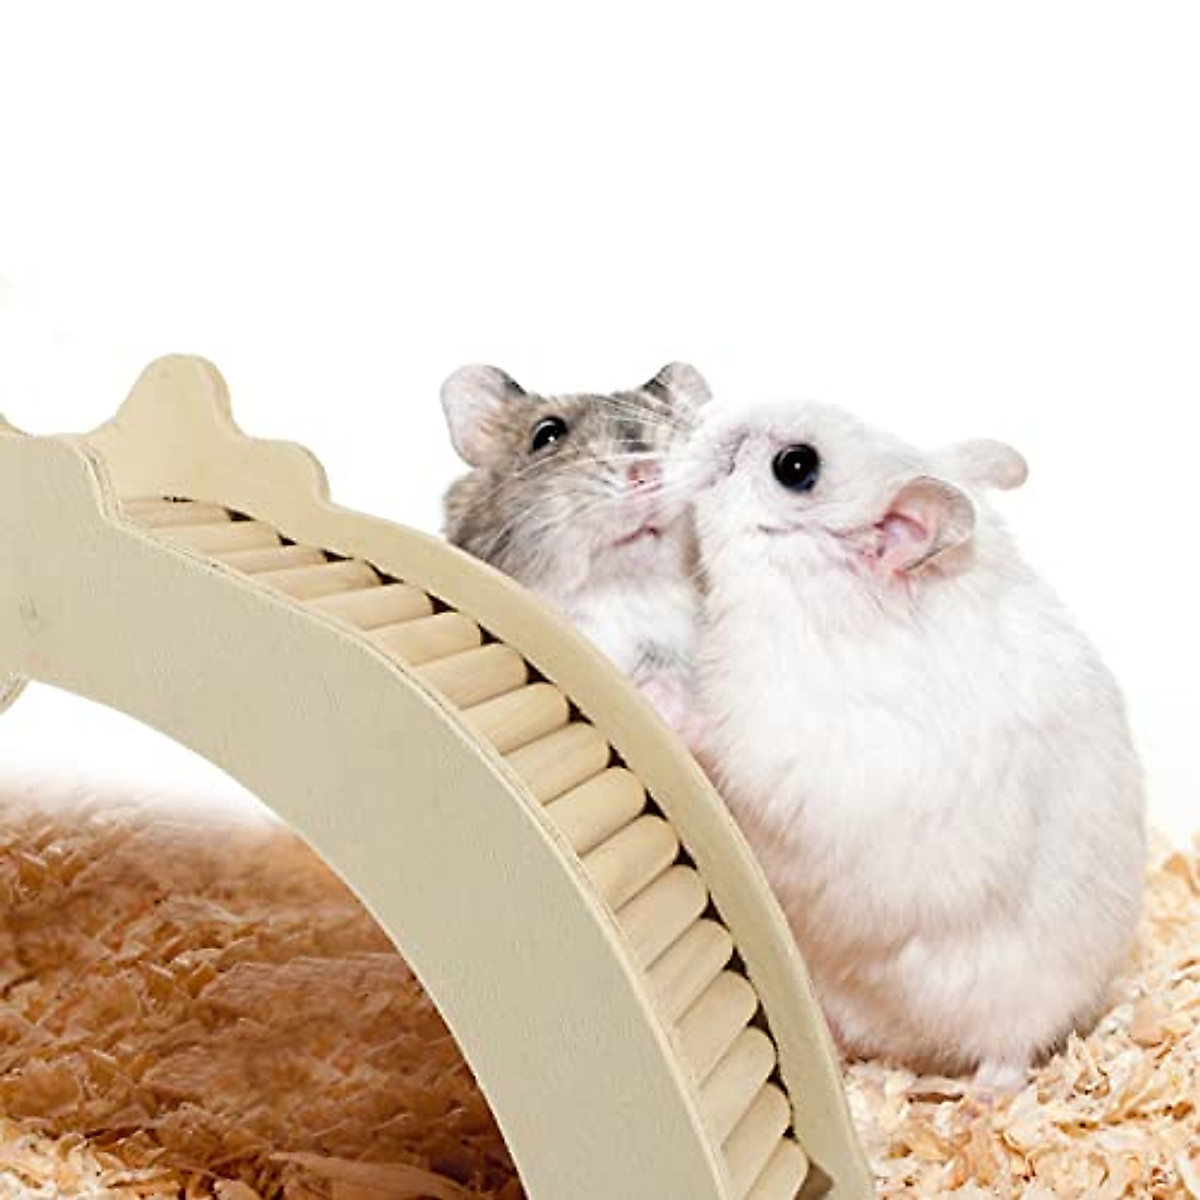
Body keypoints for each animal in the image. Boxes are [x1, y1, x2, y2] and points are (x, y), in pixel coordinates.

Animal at [678, 399, 1146, 1088]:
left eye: (795, 466)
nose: (706, 419)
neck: (816, 598)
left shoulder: (789, 743)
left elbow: (722, 732)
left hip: (1016, 994)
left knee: (1009, 1052)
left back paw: (977, 1098)